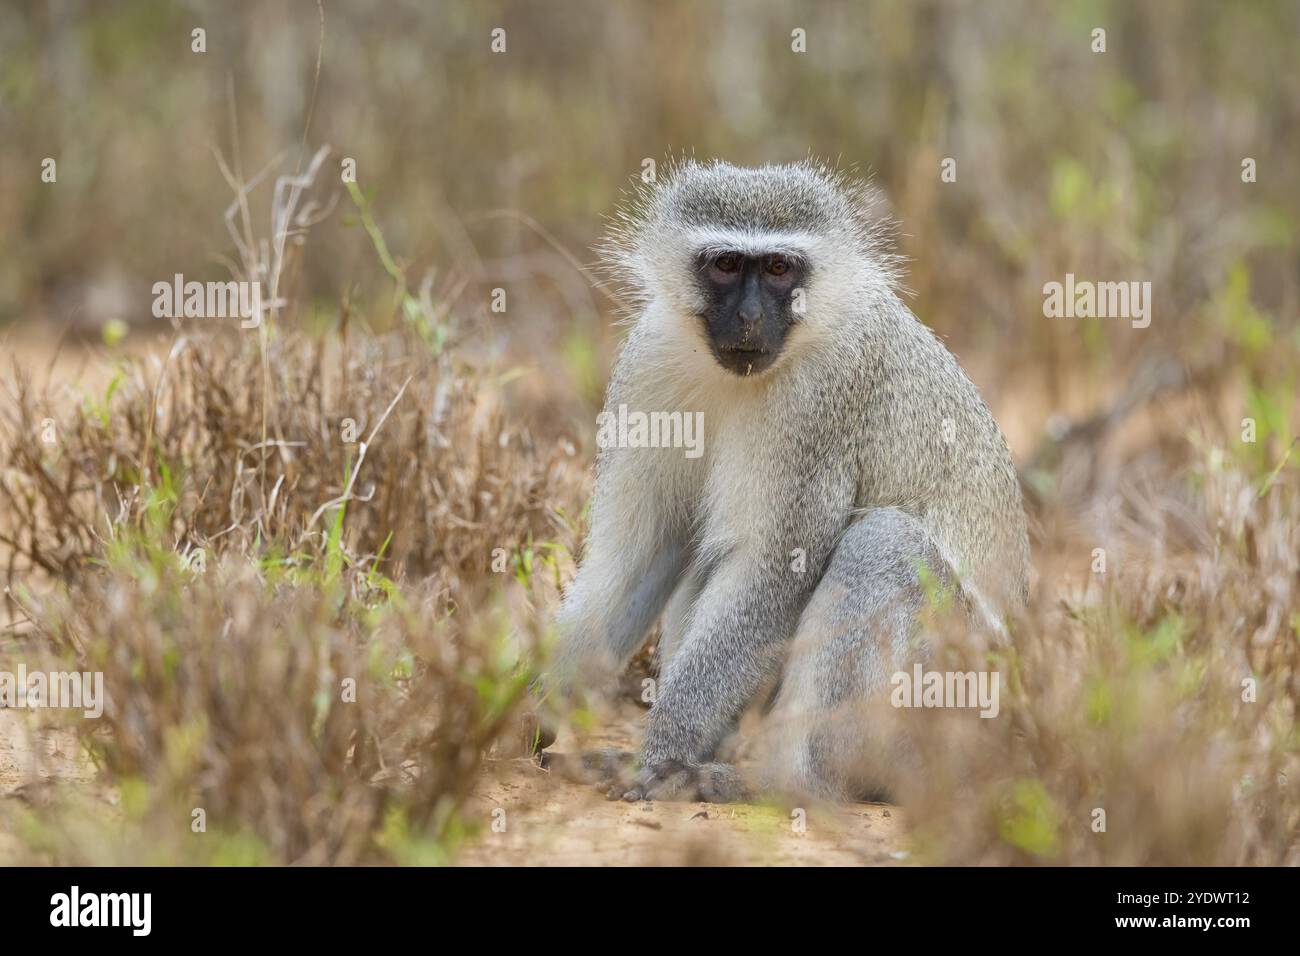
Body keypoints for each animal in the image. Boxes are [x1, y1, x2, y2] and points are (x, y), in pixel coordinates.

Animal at [541, 159, 1029, 804]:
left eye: (778, 269)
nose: (749, 318)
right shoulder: (648, 364)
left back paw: (786, 783)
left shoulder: (820, 398)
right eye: (725, 264)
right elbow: (638, 554)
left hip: (957, 692)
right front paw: (523, 710)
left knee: (885, 542)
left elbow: (774, 567)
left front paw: (661, 753)